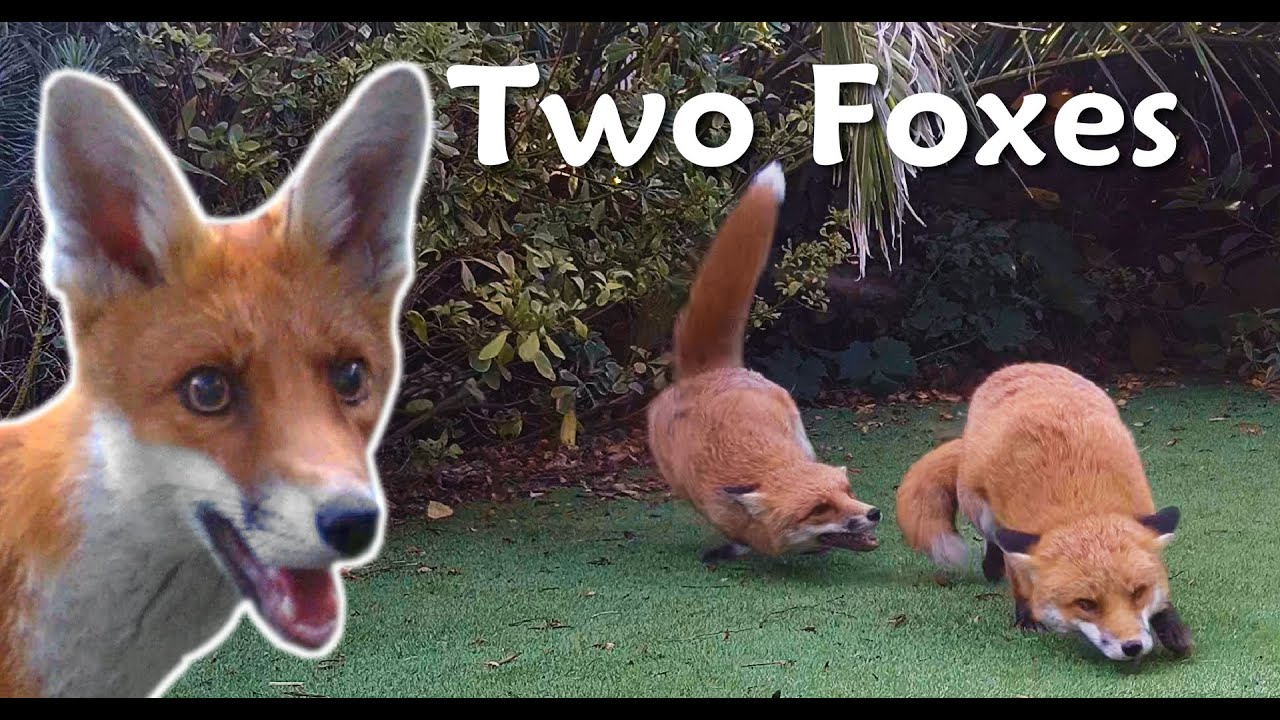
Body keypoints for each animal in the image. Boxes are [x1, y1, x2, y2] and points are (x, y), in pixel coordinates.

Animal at [646, 161, 881, 565]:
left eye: (848, 490)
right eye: (819, 509)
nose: (874, 513)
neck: (762, 464)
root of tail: (709, 371)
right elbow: (736, 535)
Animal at [895, 362, 1193, 662]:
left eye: (1138, 592)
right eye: (1085, 604)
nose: (1132, 647)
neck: (1081, 502)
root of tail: (1020, 366)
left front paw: (1170, 626)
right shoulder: (1012, 529)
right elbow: (1020, 581)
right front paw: (1027, 617)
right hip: (983, 513)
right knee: (992, 541)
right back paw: (991, 567)